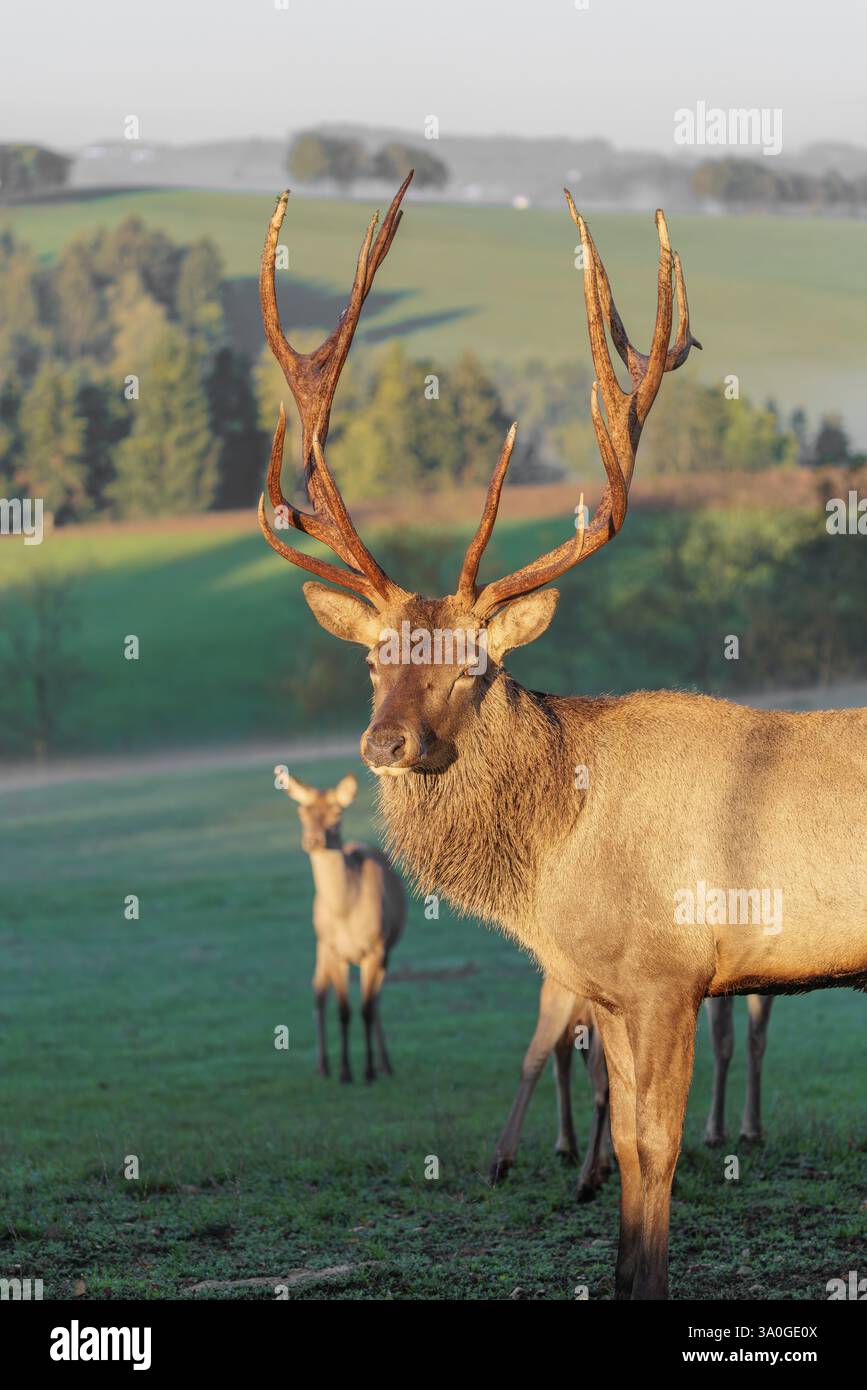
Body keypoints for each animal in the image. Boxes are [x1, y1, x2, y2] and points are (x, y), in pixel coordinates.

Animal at [280, 768, 406, 1083]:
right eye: (302, 811)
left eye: (337, 813)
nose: (313, 840)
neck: (347, 914)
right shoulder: (335, 950)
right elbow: (343, 1010)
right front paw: (346, 1072)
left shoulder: (376, 948)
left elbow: (365, 1009)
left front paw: (369, 1071)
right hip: (321, 945)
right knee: (318, 992)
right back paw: (322, 1065)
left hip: (384, 952)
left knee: (376, 1001)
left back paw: (386, 1064)